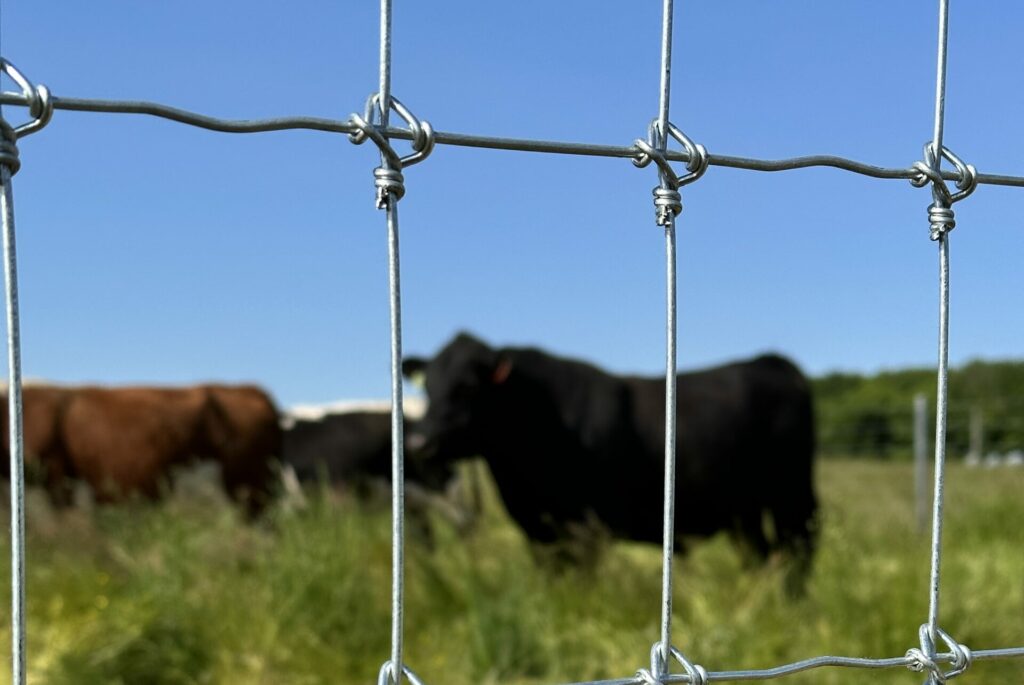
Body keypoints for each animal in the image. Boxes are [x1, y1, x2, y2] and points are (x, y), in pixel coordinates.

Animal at [402, 332, 818, 587]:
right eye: (428, 386)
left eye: (467, 387)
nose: (420, 441)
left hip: (792, 496)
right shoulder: (537, 531)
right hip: (744, 513)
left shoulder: (584, 527)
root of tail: (770, 361)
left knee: (799, 551)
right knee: (764, 556)